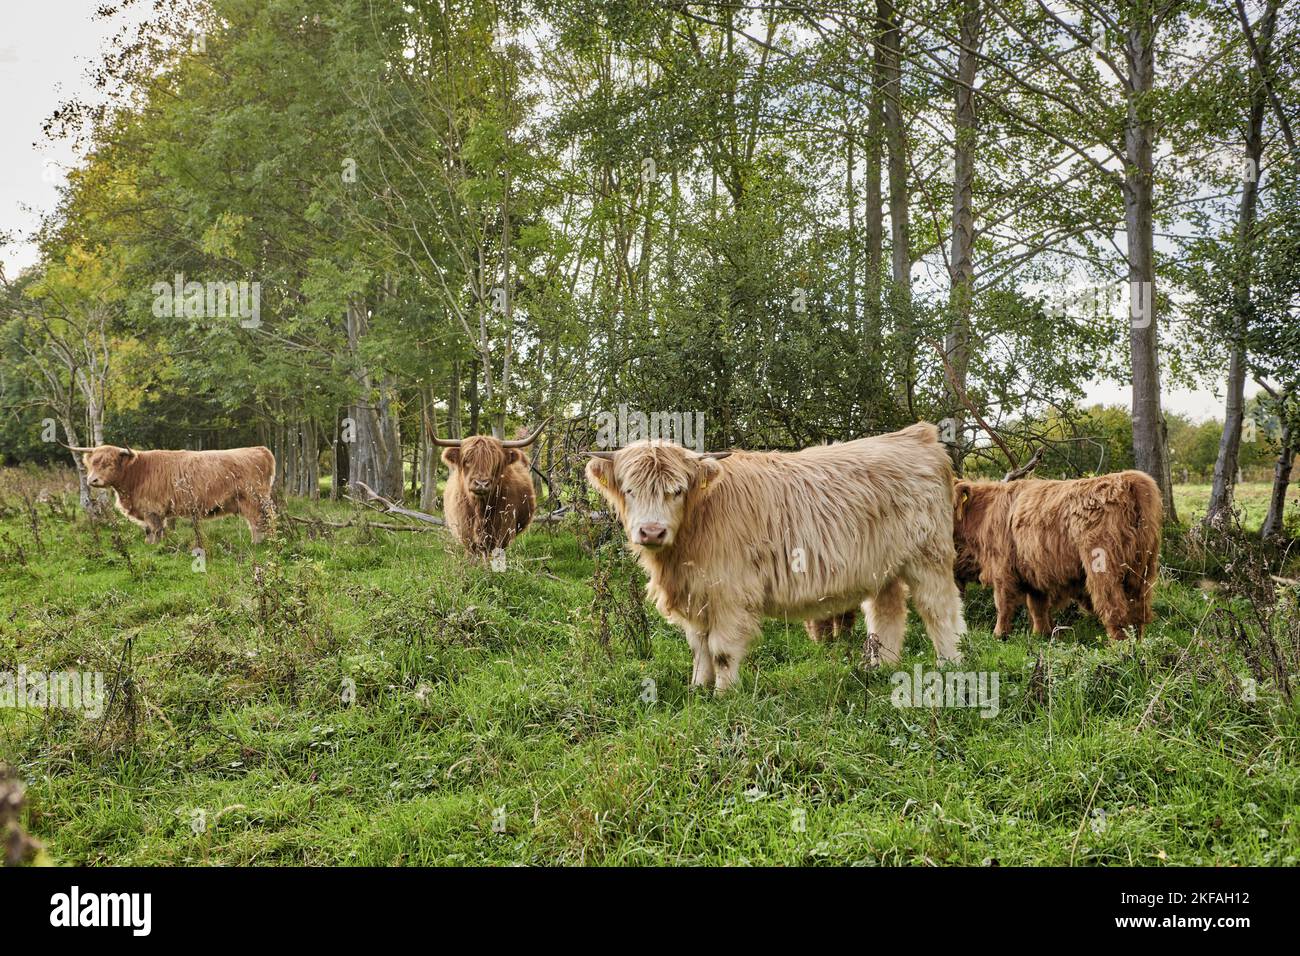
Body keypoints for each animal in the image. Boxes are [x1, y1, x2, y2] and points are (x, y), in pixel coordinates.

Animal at [68, 444, 276, 544]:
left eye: (108, 463)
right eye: (92, 463)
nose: (92, 481)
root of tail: (260, 449)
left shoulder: (152, 509)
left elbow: (155, 529)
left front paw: (155, 546)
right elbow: (150, 530)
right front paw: (149, 544)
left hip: (253, 499)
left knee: (259, 521)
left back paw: (257, 543)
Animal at [431, 421, 547, 560]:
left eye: (495, 462)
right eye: (467, 461)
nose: (481, 483)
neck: (480, 509)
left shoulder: (503, 531)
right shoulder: (465, 532)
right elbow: (472, 552)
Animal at [586, 423, 967, 694]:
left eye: (676, 491)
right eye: (630, 490)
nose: (651, 532)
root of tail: (917, 435)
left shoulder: (730, 592)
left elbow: (721, 650)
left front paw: (724, 696)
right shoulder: (697, 594)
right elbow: (699, 648)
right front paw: (697, 689)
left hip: (928, 556)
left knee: (940, 609)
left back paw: (949, 665)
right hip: (882, 567)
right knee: (886, 614)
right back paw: (880, 669)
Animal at [951, 470, 1162, 641]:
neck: (984, 513)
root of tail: (1129, 480)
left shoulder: (1002, 568)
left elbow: (1002, 605)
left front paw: (998, 635)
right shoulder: (1033, 571)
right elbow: (1037, 607)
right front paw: (1041, 635)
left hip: (1103, 567)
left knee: (1115, 610)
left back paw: (1120, 651)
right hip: (1143, 567)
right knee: (1138, 611)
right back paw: (1138, 646)